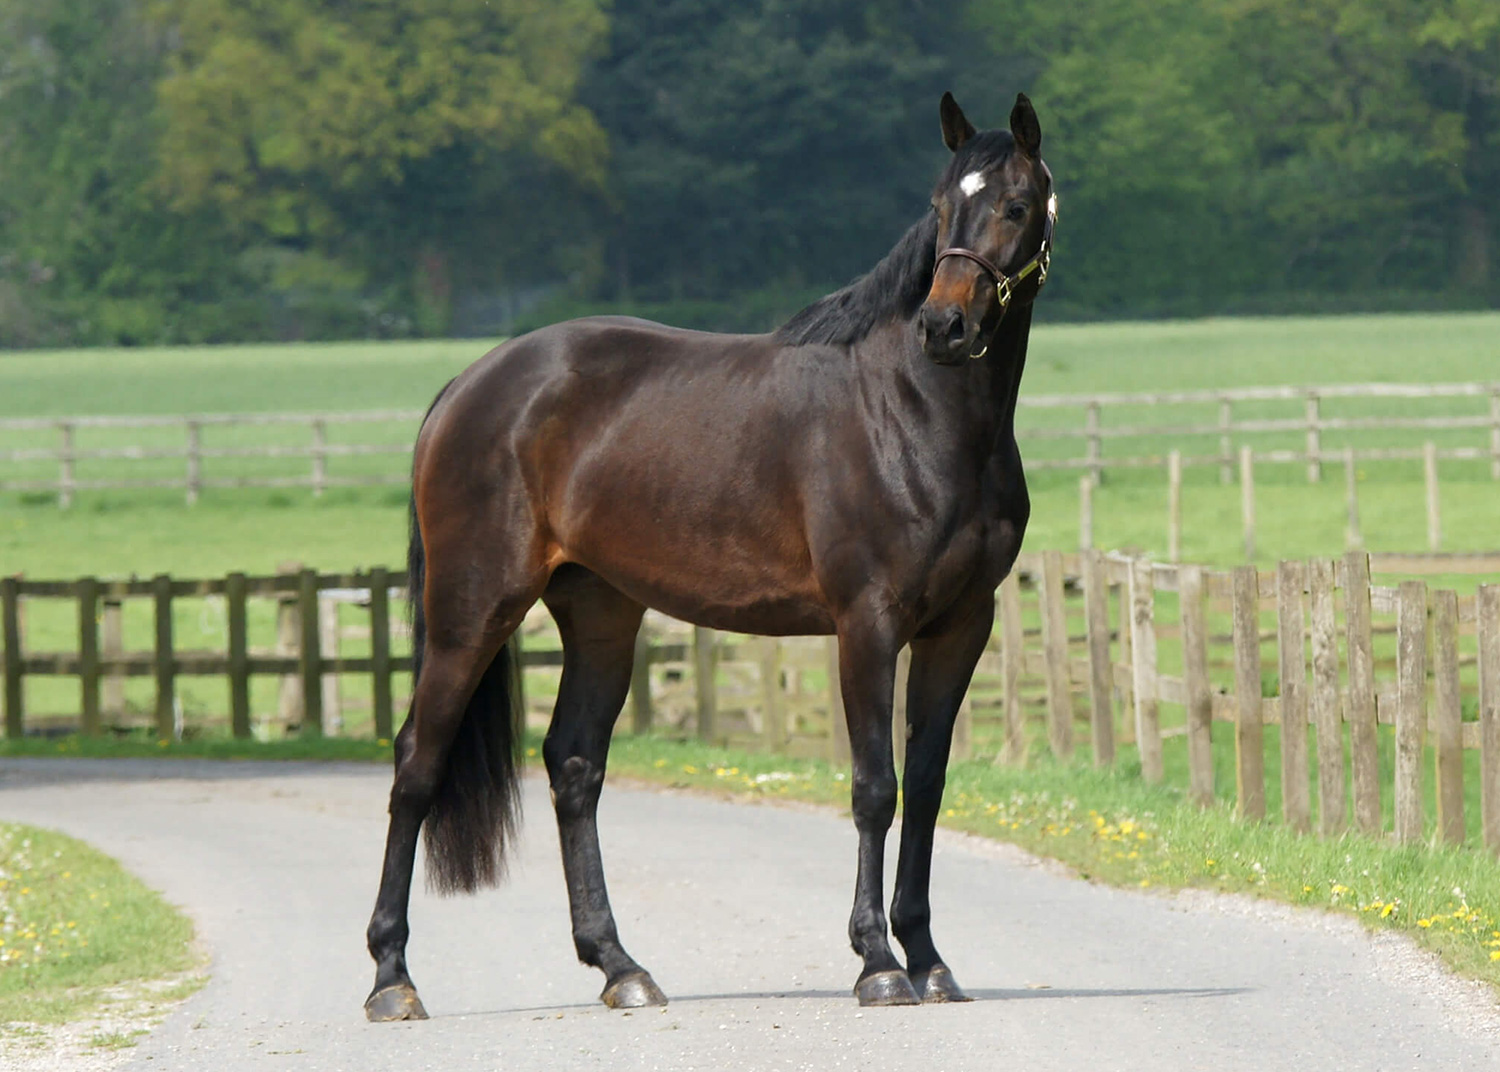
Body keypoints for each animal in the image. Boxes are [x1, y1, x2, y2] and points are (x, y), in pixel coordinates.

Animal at [364, 91, 1057, 1020]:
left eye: (1015, 205)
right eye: (943, 206)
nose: (943, 326)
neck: (917, 413)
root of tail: (466, 388)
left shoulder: (960, 628)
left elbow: (929, 786)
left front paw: (930, 959)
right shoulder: (868, 626)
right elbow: (875, 787)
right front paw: (879, 964)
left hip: (600, 612)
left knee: (573, 765)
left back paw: (620, 967)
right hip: (471, 613)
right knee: (417, 763)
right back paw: (392, 977)